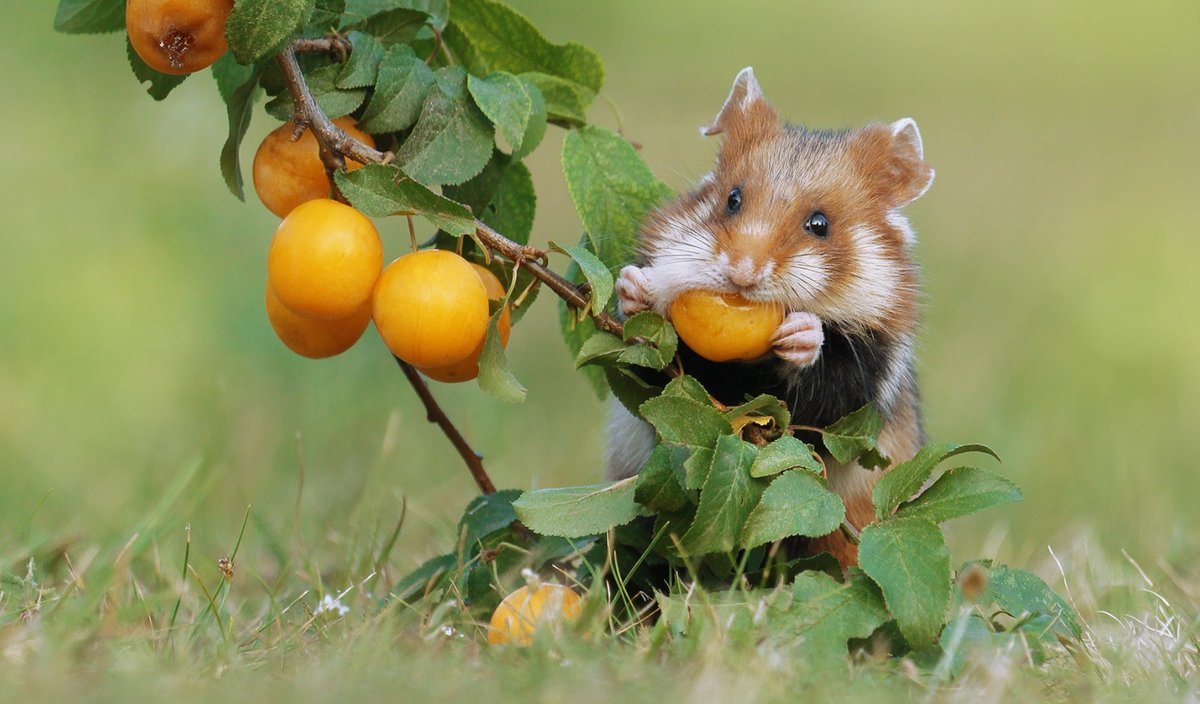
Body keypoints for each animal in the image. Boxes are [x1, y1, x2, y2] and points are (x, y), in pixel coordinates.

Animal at [604, 65, 931, 568]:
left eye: (820, 224)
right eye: (732, 199)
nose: (742, 274)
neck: (750, 365)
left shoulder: (866, 377)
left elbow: (823, 400)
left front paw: (803, 334)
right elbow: (659, 378)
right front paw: (636, 289)